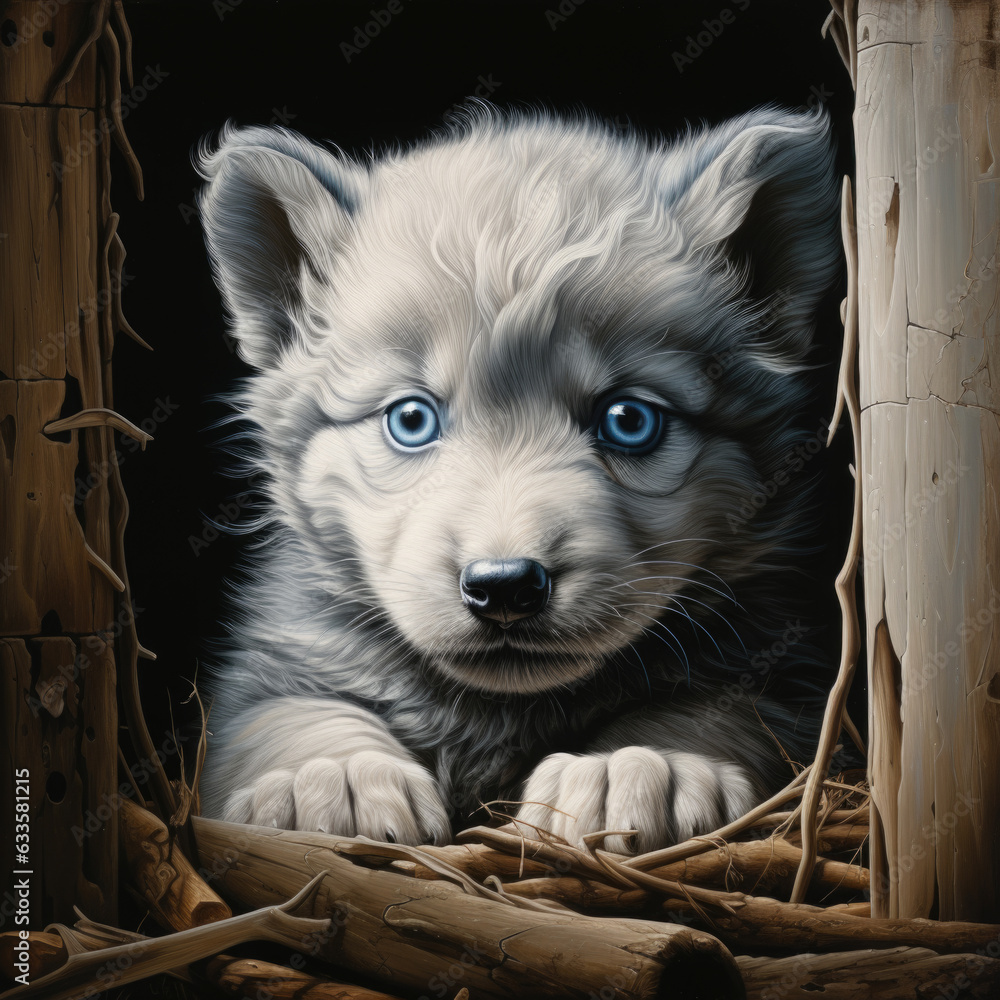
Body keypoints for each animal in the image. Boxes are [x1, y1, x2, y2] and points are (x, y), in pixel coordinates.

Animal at [197, 104, 841, 852]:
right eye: (411, 418)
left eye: (628, 420)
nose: (504, 585)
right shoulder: (279, 655)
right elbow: (283, 709)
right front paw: (329, 775)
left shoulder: (781, 664)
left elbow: (717, 704)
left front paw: (642, 762)